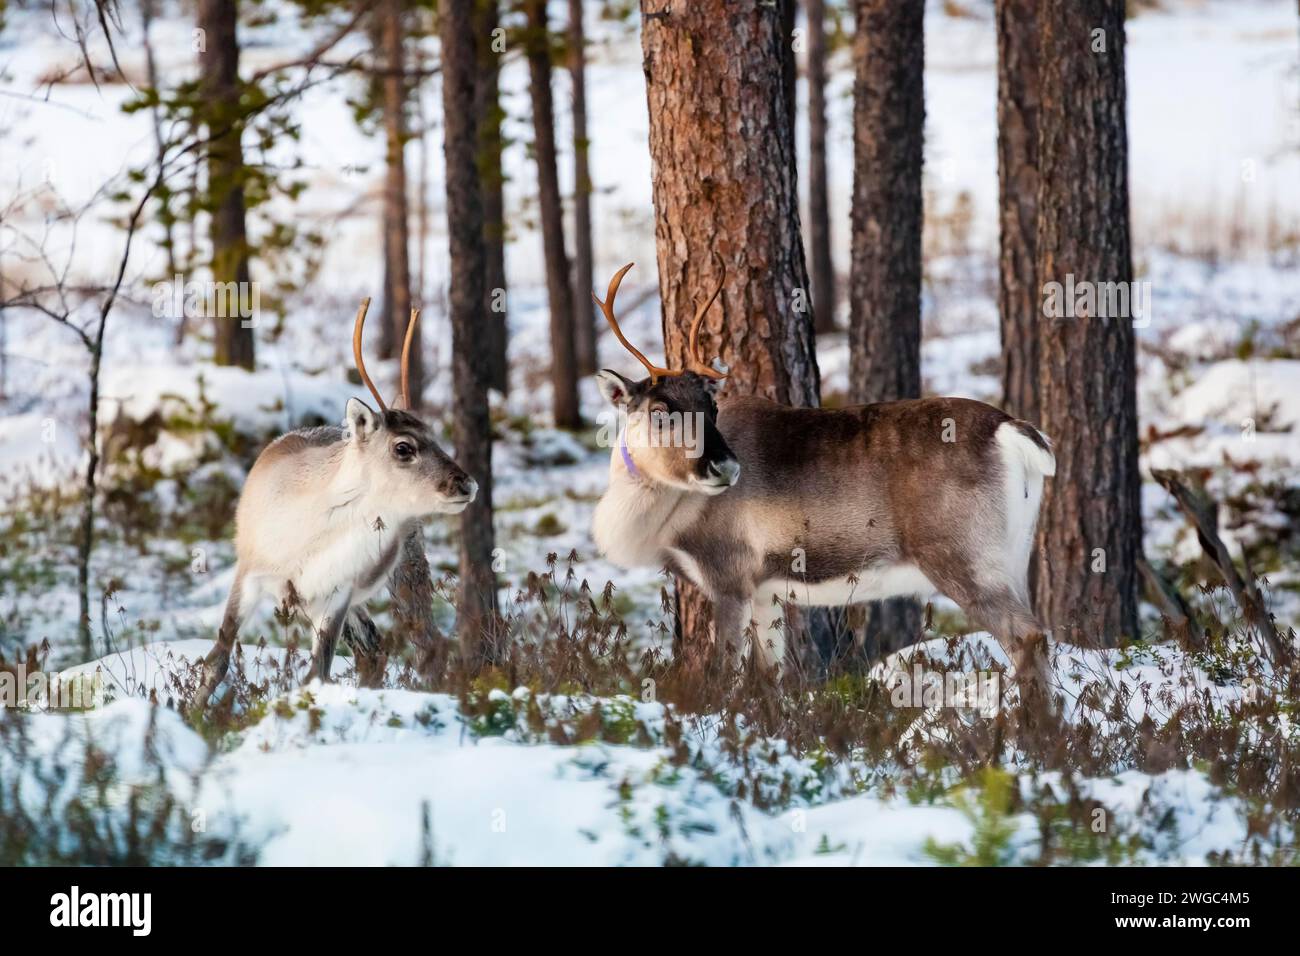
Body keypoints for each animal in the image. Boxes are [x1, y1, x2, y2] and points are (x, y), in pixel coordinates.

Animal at [195, 301, 477, 706]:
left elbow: (317, 674)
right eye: (403, 446)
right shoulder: (249, 576)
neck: (315, 530)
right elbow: (215, 661)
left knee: (423, 644)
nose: (466, 484)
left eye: (435, 436)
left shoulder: (336, 595)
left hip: (404, 573)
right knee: (373, 649)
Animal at [590, 263, 1058, 706]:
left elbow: (724, 675)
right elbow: (771, 680)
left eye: (712, 406)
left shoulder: (730, 577)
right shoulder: (766, 592)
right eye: (659, 411)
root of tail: (1015, 431)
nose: (726, 467)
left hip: (965, 561)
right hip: (1015, 558)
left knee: (1027, 637)